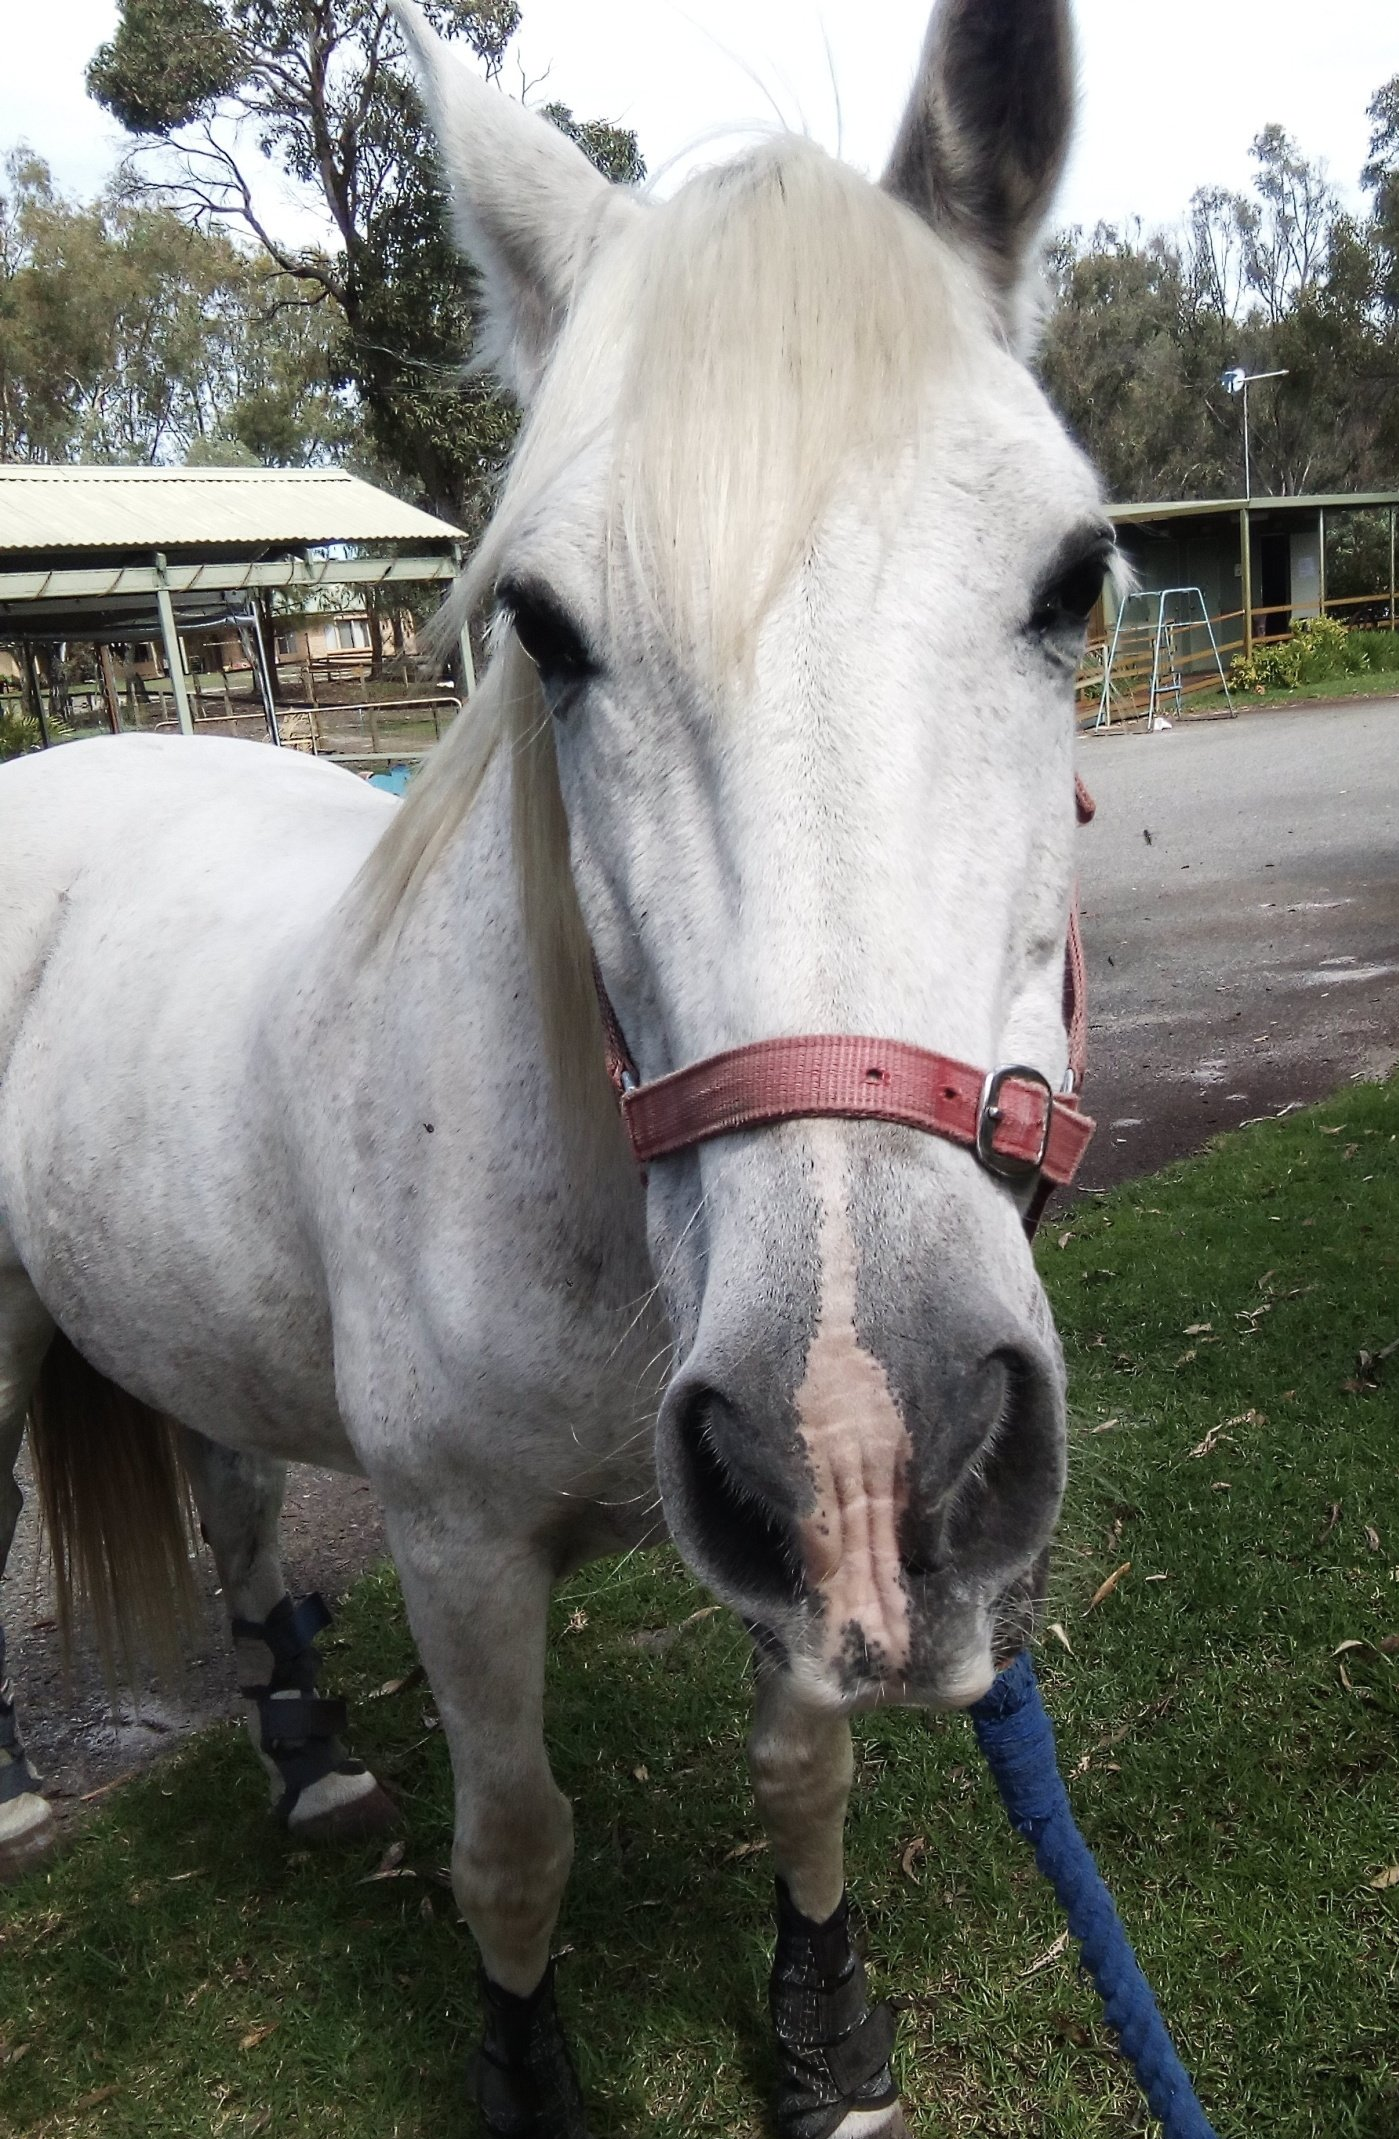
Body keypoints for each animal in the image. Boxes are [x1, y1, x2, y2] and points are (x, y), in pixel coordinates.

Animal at [0, 1, 1115, 2130]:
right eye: (542, 624)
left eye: (1074, 582)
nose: (874, 1441)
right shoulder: (454, 1546)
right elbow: (512, 1843)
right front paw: (525, 2071)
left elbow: (802, 1768)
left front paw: (822, 2029)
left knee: (234, 1499)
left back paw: (301, 1747)